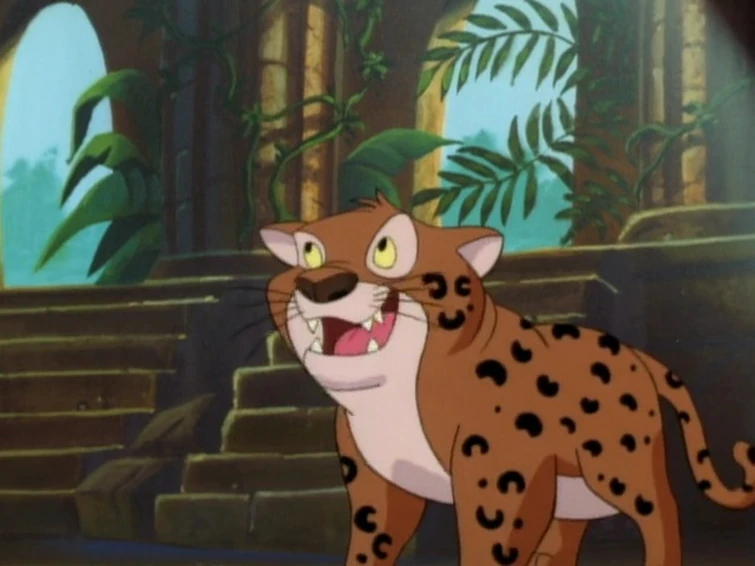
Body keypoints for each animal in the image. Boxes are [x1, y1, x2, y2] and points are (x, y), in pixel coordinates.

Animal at [260, 193, 755, 566]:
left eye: (386, 250)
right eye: (309, 252)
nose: (322, 285)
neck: (391, 395)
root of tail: (636, 353)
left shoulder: (500, 478)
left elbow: (490, 546)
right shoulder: (377, 485)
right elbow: (372, 545)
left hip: (618, 466)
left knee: (662, 515)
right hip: (574, 494)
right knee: (562, 544)